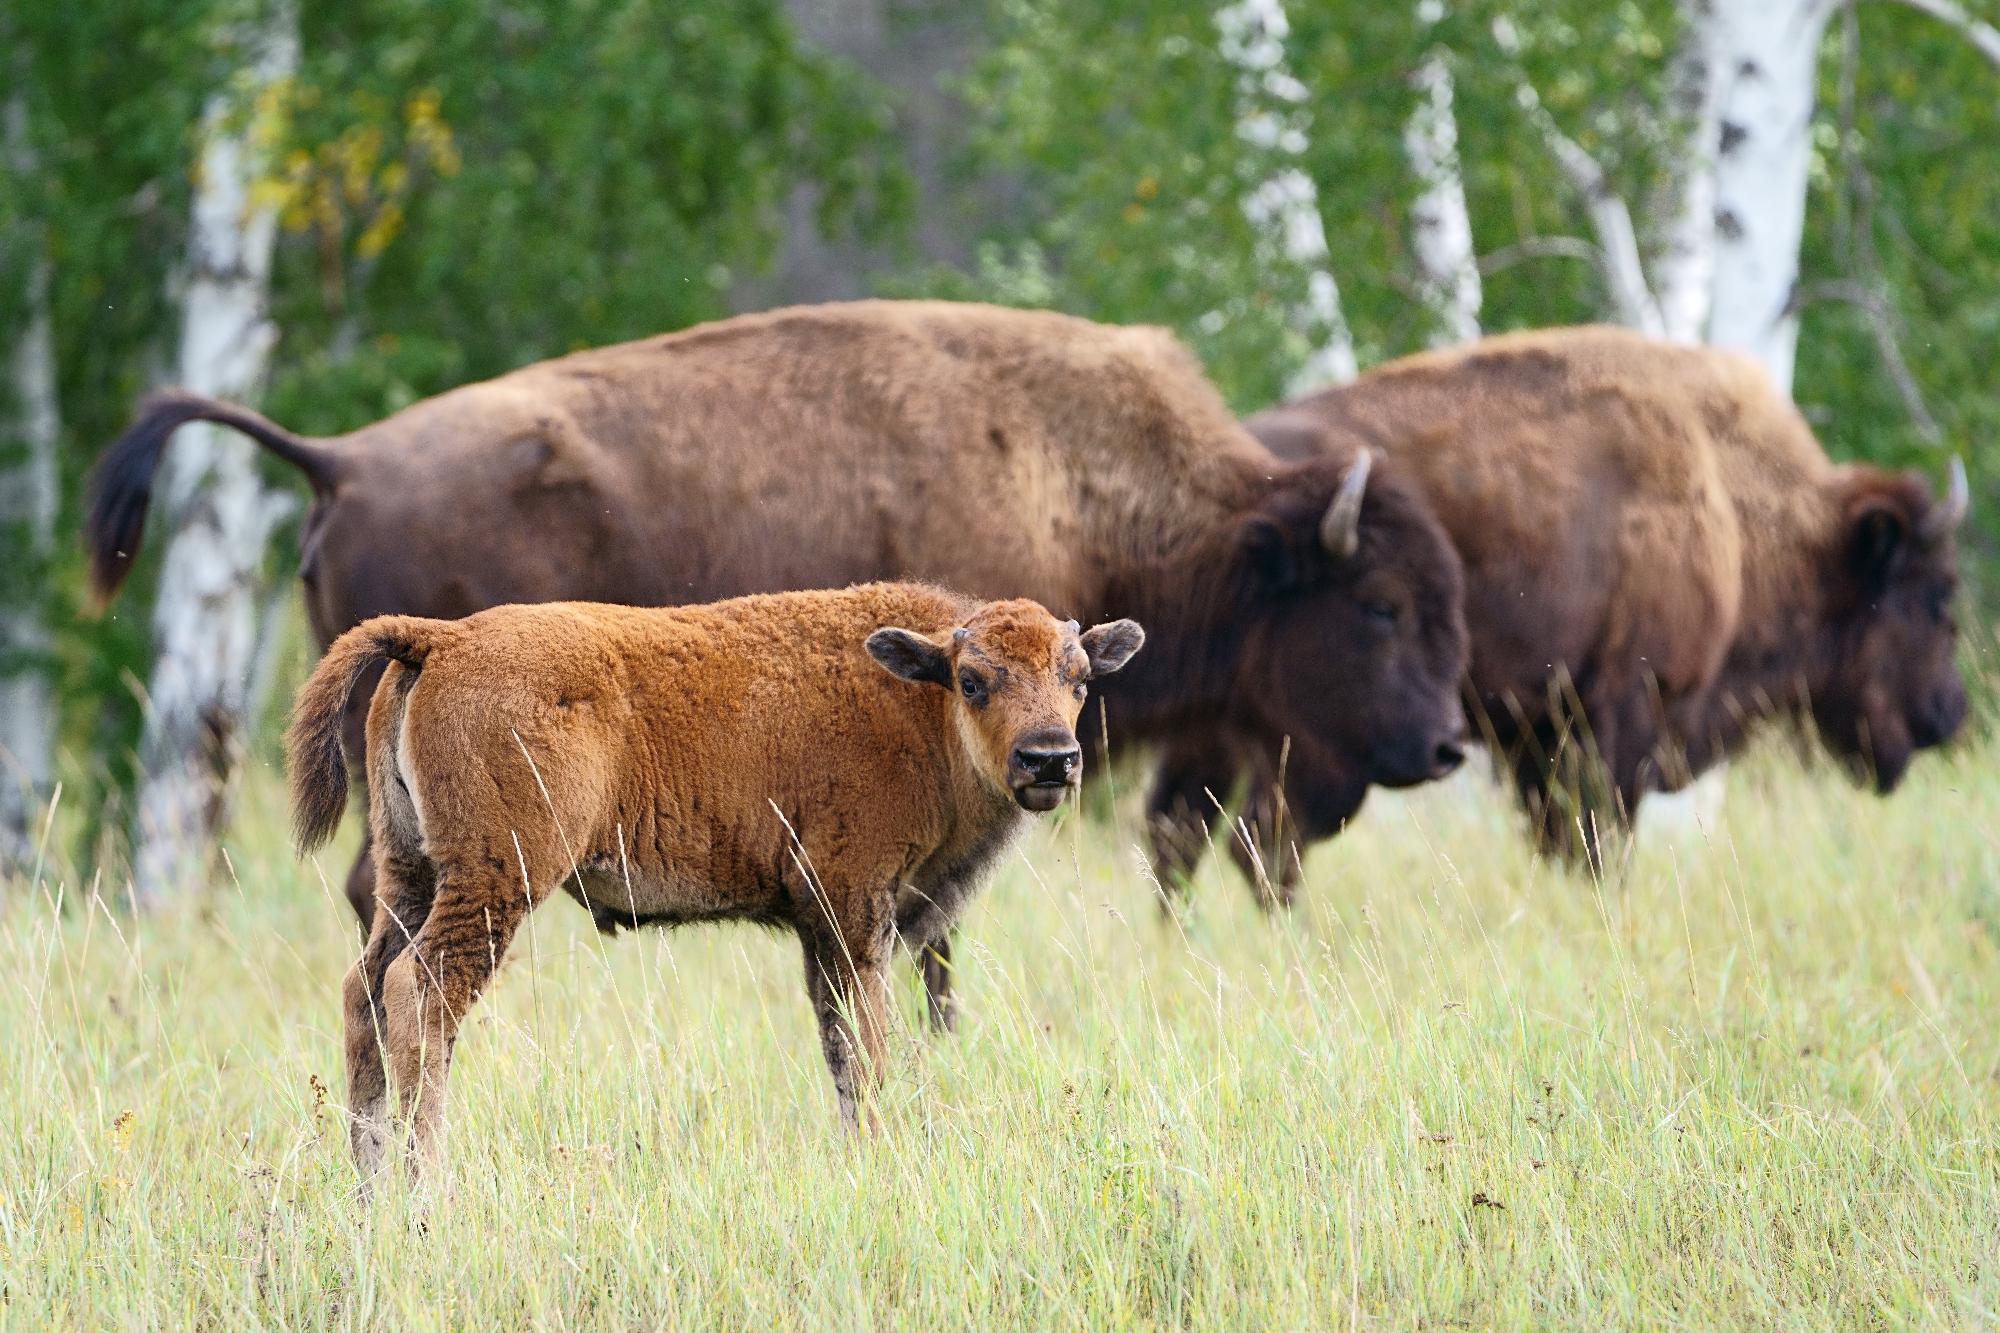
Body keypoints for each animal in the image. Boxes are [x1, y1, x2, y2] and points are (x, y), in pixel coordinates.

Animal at [290, 580, 1152, 1176]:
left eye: (1078, 677)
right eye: (974, 679)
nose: (1050, 758)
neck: (917, 699)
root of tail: (439, 638)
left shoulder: (822, 930)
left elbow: (840, 1051)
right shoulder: (853, 911)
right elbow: (867, 1048)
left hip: (412, 873)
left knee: (364, 992)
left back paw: (367, 1186)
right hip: (495, 881)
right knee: (420, 994)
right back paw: (423, 1184)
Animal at [1168, 322, 1960, 880]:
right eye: (1935, 598)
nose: (1948, 715)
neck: (1730, 502)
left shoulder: (1538, 732)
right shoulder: (1622, 712)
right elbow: (1597, 842)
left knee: (1182, 831)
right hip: (1321, 743)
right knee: (1261, 841)